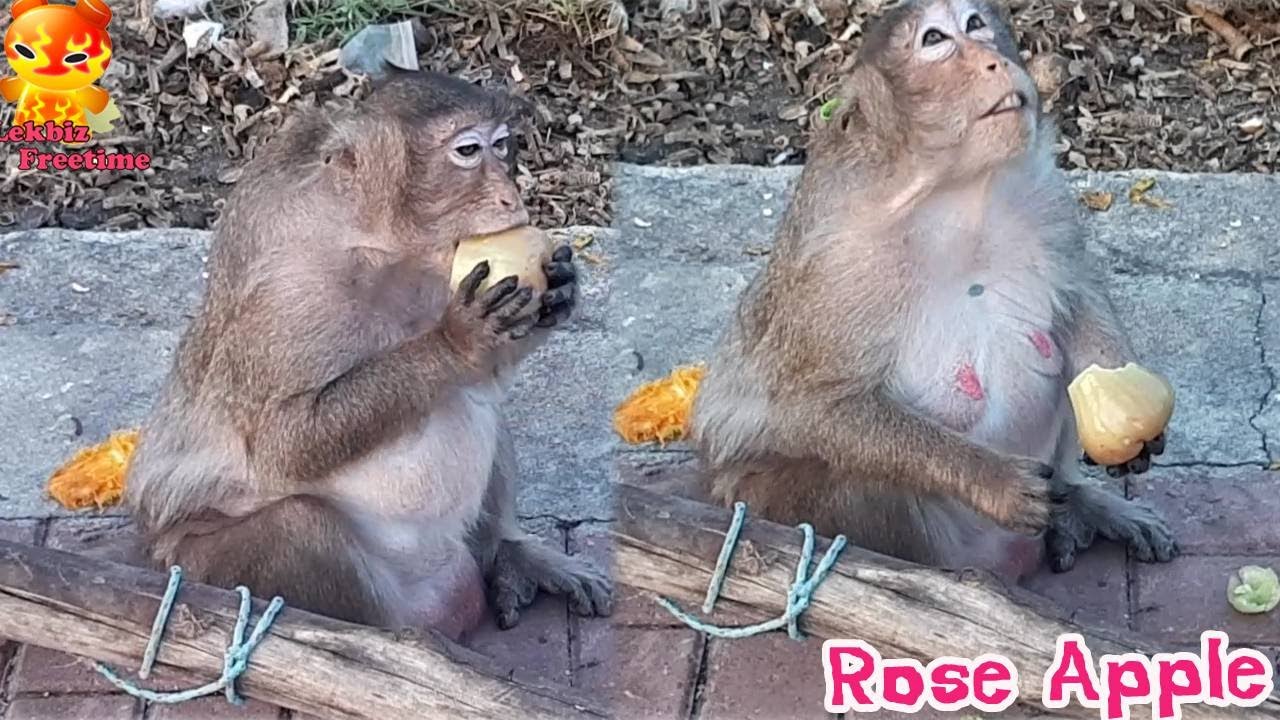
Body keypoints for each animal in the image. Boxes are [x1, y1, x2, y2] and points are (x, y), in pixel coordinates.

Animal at [123, 71, 612, 640]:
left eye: (503, 146)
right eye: (468, 150)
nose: (511, 198)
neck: (377, 244)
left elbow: (483, 378)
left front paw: (560, 290)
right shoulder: (290, 295)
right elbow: (284, 444)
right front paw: (457, 340)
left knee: (472, 399)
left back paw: (507, 558)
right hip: (200, 563)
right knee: (296, 524)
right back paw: (395, 639)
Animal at [688, 0, 1178, 583]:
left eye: (975, 26)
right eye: (935, 40)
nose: (993, 62)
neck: (958, 193)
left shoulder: (1045, 195)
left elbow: (1077, 302)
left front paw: (1128, 408)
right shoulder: (838, 272)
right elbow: (816, 410)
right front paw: (991, 480)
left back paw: (1078, 507)